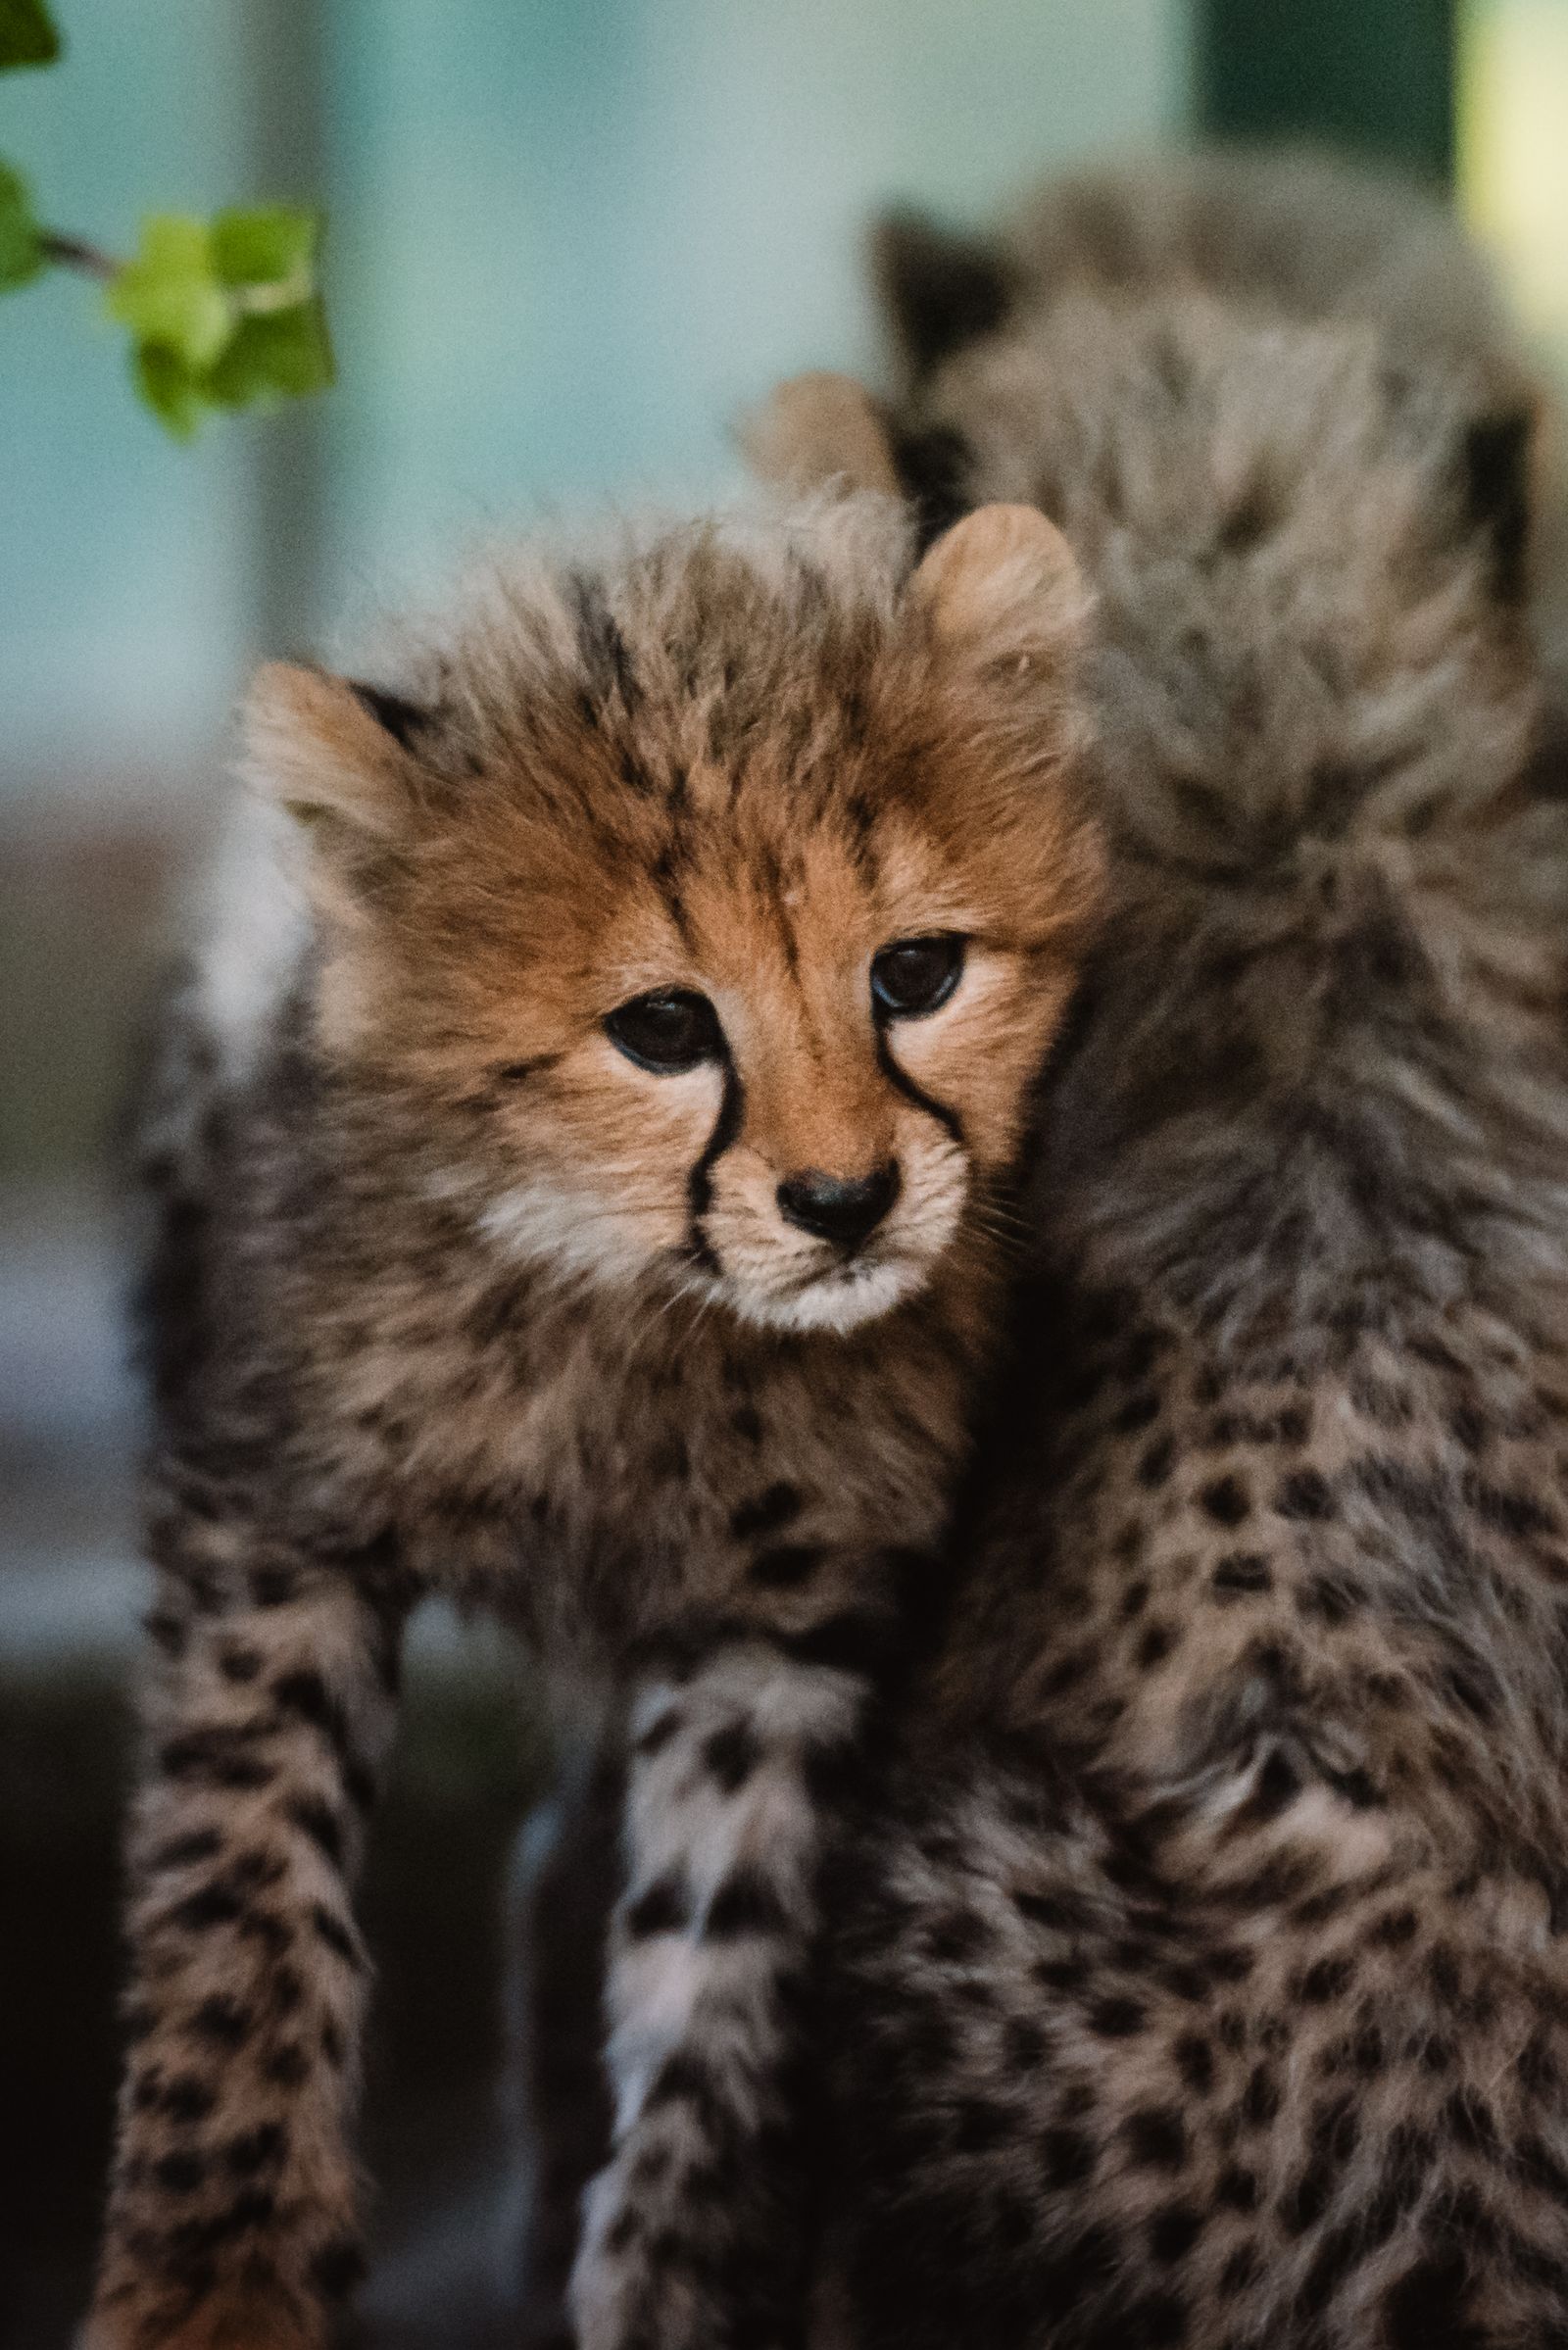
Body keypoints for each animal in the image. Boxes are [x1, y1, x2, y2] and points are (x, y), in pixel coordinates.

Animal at [80, 491, 1103, 2350]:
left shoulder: (786, 1630)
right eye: (664, 1024)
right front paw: (213, 2279)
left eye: (918, 972)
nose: (845, 1201)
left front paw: (681, 2283)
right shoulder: (271, 1514)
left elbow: (725, 1981)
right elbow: (242, 1887)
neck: (629, 1303)